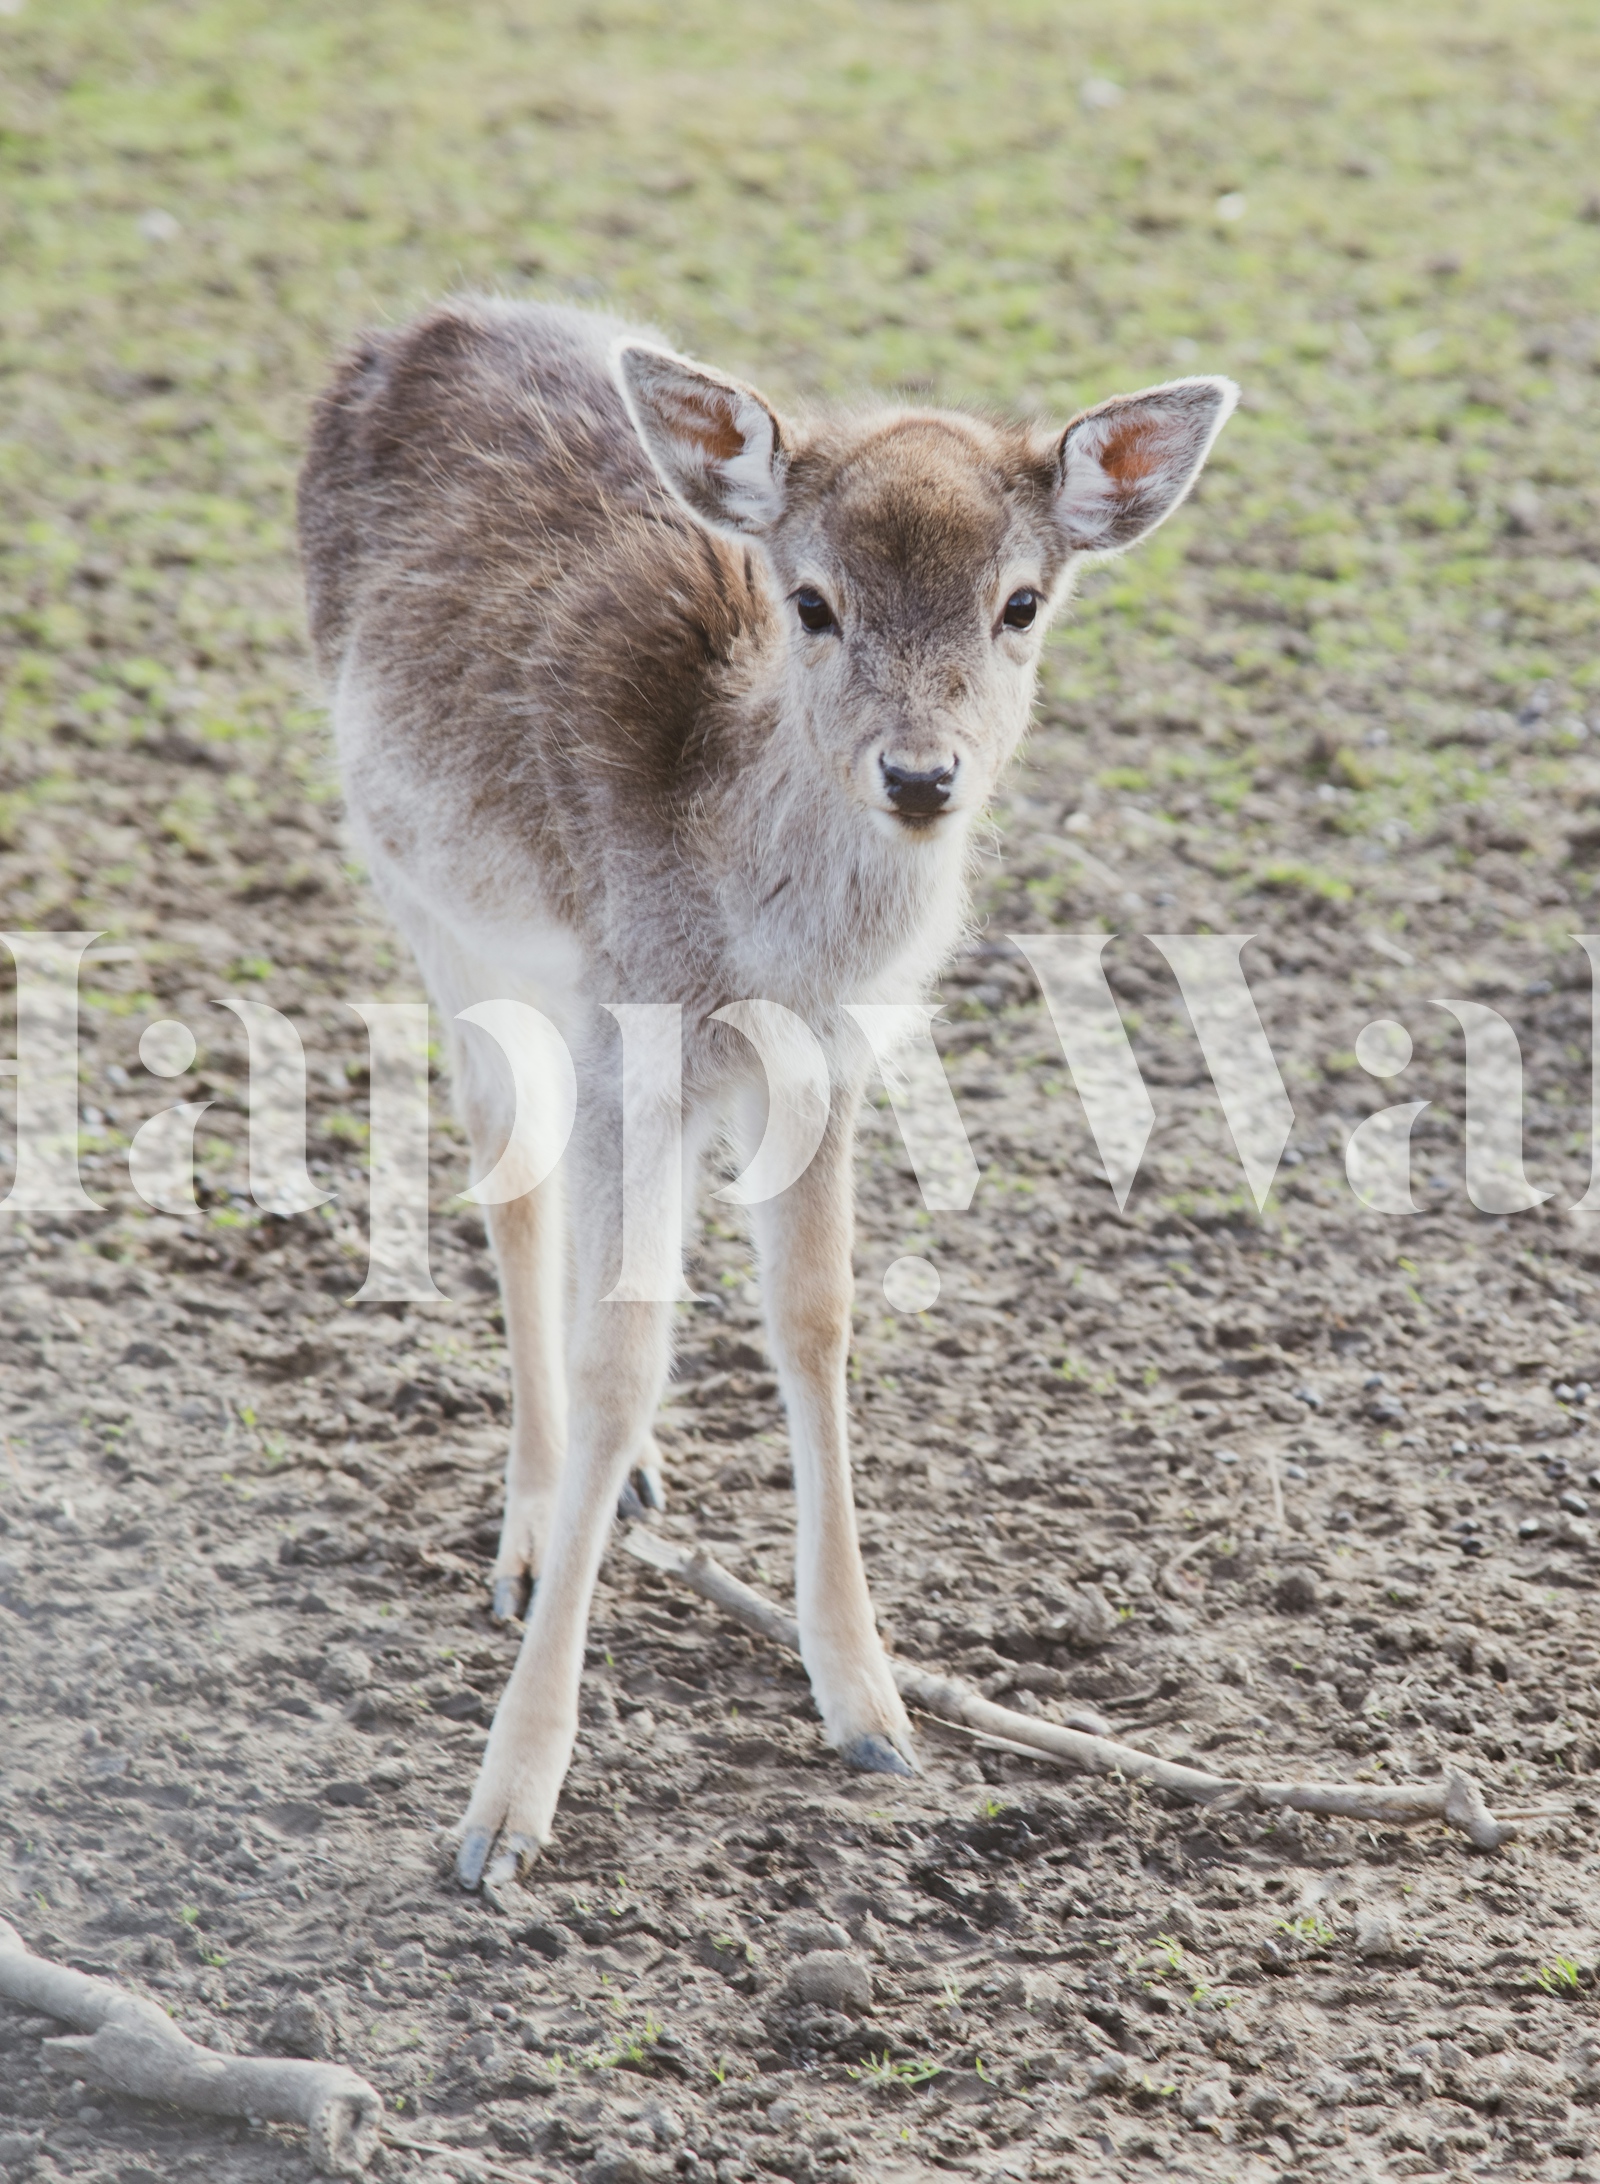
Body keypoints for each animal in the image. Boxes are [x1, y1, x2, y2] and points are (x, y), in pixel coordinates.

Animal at [297, 297, 1236, 1889]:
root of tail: (412, 325)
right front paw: (505, 1812)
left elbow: (814, 1319)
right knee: (509, 1158)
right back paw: (538, 1522)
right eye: (810, 602)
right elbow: (623, 1355)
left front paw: (869, 1704)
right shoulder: (631, 1016)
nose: (919, 776)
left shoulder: (833, 1058)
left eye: (1021, 604)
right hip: (418, 887)